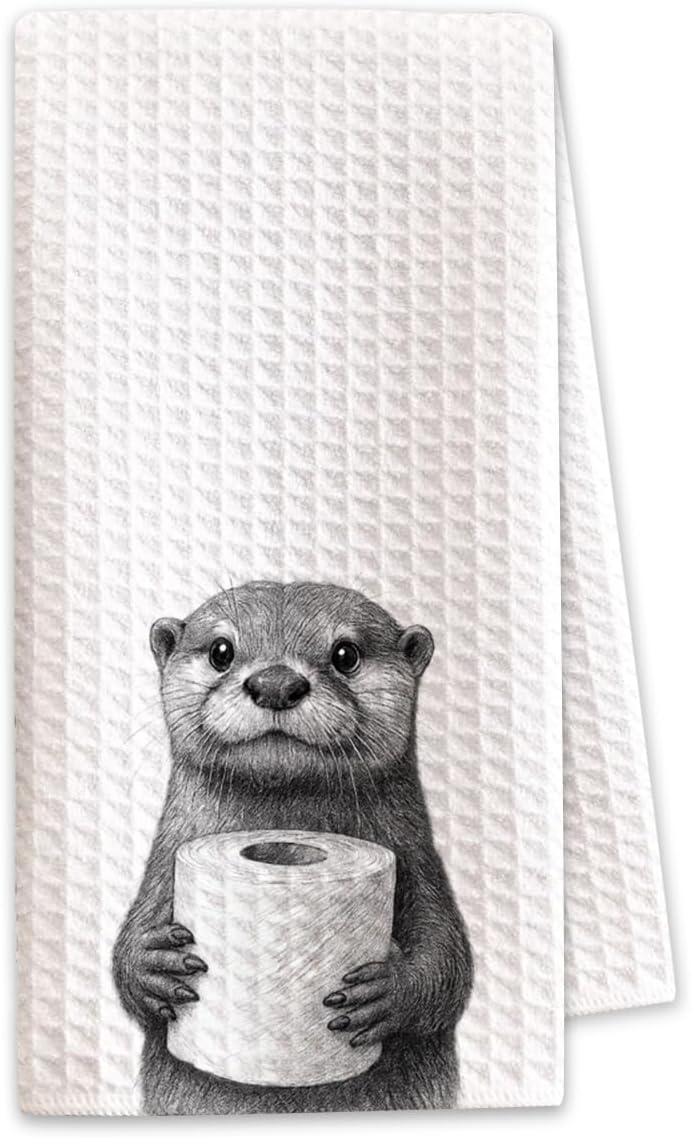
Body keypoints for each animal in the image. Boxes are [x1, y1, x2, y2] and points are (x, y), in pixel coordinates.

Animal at [112, 581, 473, 1114]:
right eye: (221, 651)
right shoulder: (164, 868)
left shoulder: (419, 866)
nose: (276, 683)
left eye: (346, 654)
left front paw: (387, 991)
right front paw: (152, 964)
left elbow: (448, 965)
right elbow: (124, 955)